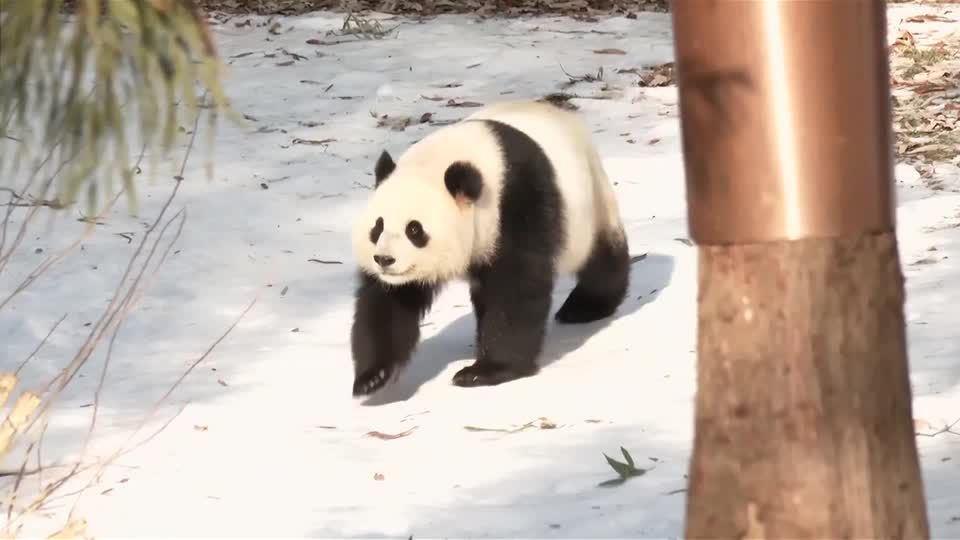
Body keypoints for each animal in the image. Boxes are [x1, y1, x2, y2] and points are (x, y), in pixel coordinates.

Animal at [349, 100, 630, 397]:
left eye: (414, 229)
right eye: (377, 226)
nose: (384, 259)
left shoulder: (517, 203)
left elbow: (516, 287)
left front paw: (484, 371)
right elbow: (387, 304)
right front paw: (372, 377)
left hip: (589, 206)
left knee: (601, 257)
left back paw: (585, 306)